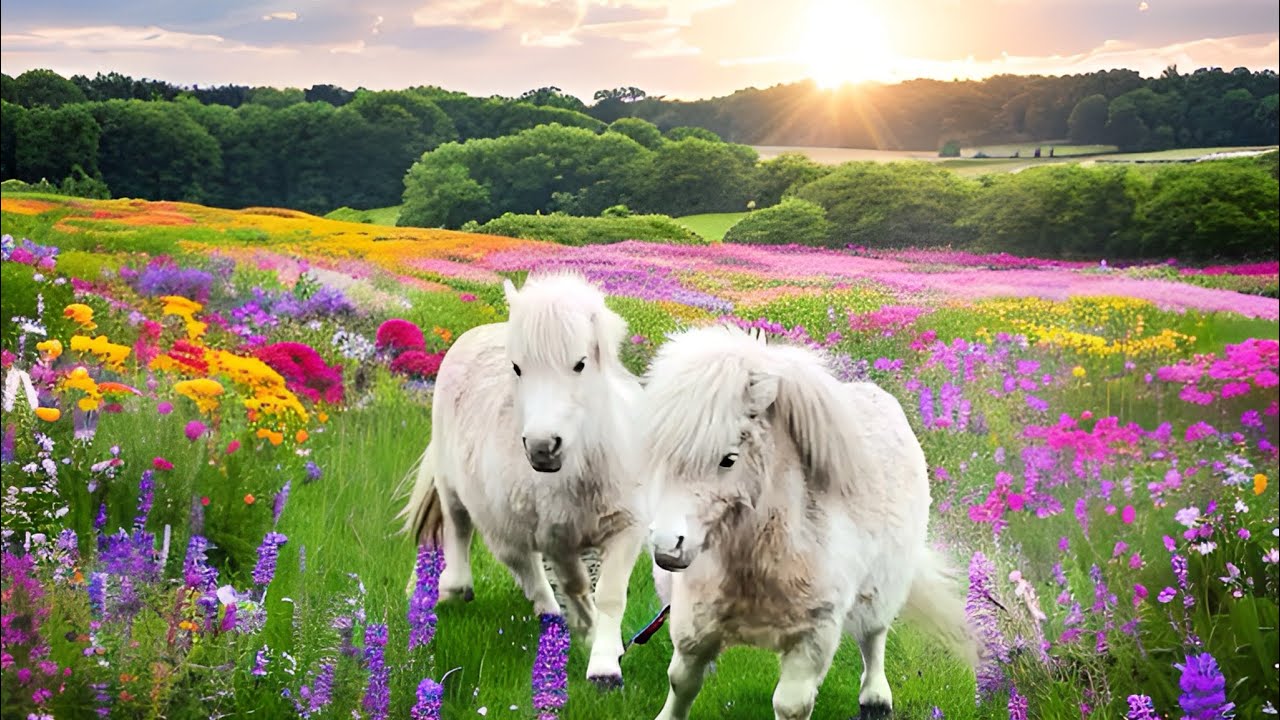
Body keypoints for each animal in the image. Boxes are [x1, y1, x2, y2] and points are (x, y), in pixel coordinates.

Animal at [397, 270, 651, 688]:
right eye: (517, 367)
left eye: (580, 363)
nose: (542, 447)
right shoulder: (557, 539)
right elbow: (576, 586)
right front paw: (589, 633)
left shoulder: (625, 527)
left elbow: (610, 594)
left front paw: (605, 661)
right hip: (462, 495)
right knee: (470, 536)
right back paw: (462, 588)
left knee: (524, 565)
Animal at [641, 325, 978, 720]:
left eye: (728, 459)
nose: (666, 547)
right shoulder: (694, 621)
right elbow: (682, 681)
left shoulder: (813, 637)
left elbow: (791, 706)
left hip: (885, 582)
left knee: (874, 633)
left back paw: (876, 696)